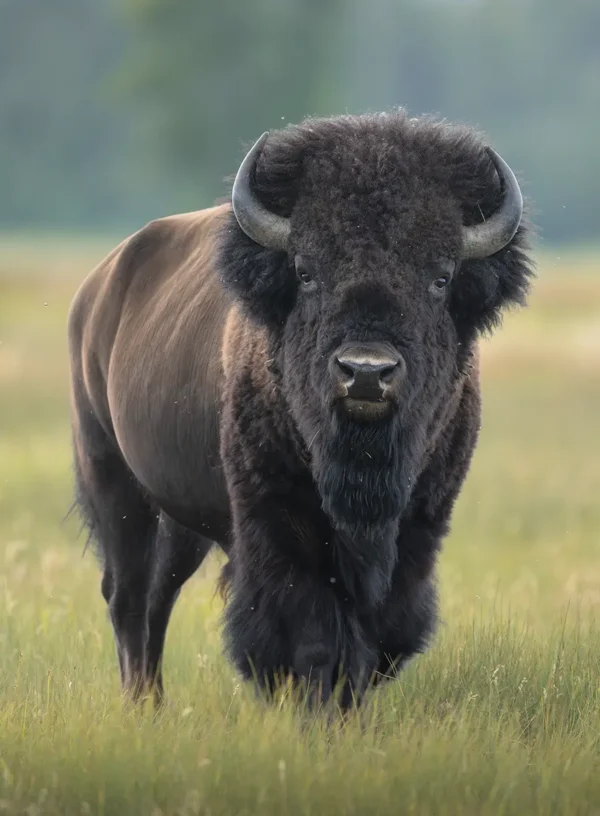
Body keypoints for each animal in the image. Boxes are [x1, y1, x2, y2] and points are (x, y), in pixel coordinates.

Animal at [68, 111, 533, 709]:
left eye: (441, 277)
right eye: (307, 272)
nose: (365, 372)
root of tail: (97, 289)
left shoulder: (418, 525)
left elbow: (376, 638)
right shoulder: (277, 523)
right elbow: (309, 634)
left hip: (180, 516)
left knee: (157, 595)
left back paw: (153, 703)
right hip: (113, 480)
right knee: (126, 594)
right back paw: (140, 705)